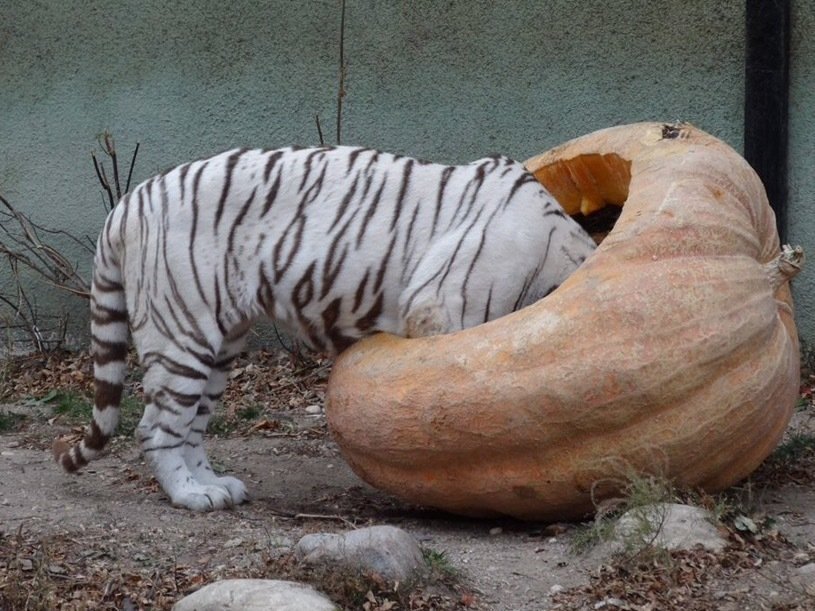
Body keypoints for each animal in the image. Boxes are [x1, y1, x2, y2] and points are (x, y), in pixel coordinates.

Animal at [52, 145, 597, 511]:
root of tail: (128, 201)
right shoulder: (440, 308)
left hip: (220, 343)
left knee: (192, 424)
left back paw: (216, 486)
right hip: (182, 331)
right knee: (155, 426)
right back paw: (190, 496)